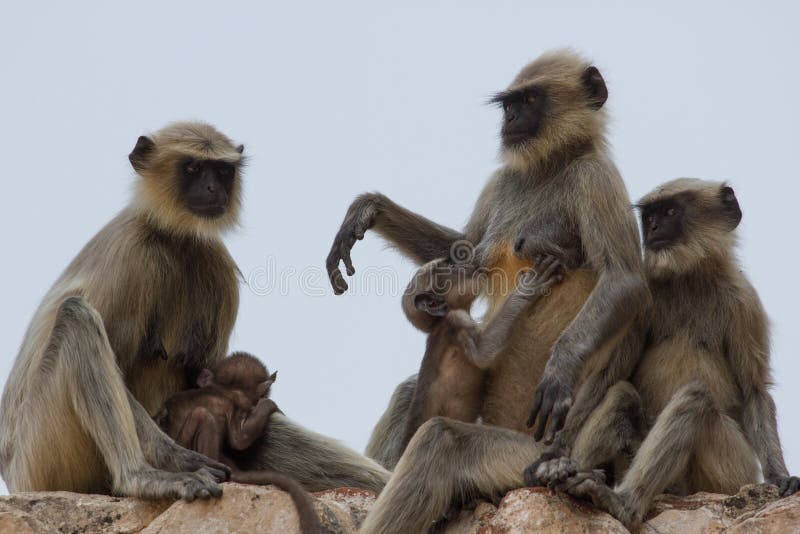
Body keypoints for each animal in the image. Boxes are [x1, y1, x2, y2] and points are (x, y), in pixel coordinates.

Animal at [0, 121, 389, 502]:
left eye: (222, 170)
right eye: (192, 167)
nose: (212, 187)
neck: (171, 235)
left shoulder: (215, 263)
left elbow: (211, 387)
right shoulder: (130, 259)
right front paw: (178, 459)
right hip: (44, 457)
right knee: (75, 316)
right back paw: (141, 478)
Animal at [155, 352, 322, 534]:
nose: (265, 397)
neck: (224, 389)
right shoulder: (240, 403)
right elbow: (240, 440)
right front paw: (271, 405)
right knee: (202, 415)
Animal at [400, 255, 566, 455]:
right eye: (449, 266)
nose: (470, 263)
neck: (438, 323)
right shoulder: (456, 320)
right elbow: (483, 353)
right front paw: (527, 289)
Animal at [537, 179, 800, 530]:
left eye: (671, 212)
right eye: (649, 217)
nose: (653, 229)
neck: (688, 277)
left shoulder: (745, 303)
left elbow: (753, 391)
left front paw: (779, 476)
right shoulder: (642, 299)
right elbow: (611, 374)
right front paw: (553, 454)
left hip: (728, 473)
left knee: (695, 397)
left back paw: (623, 504)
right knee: (621, 394)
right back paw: (571, 477)